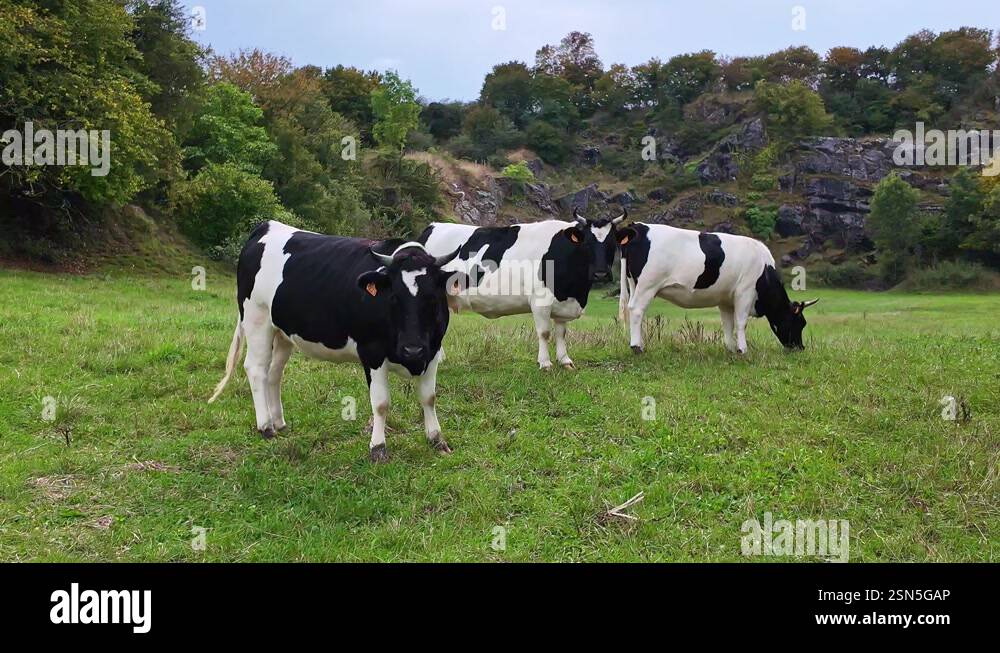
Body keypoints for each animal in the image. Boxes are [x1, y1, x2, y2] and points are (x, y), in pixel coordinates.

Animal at [207, 220, 464, 463]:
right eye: (393, 297)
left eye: (432, 297)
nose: (412, 349)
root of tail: (267, 226)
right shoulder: (372, 351)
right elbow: (381, 403)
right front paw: (378, 448)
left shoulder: (432, 350)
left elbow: (429, 397)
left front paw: (437, 440)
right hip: (256, 319)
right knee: (256, 369)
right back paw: (266, 427)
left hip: (282, 331)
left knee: (274, 373)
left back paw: (279, 422)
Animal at [418, 209, 625, 371]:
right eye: (587, 243)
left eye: (611, 243)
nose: (601, 274)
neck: (575, 290)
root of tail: (432, 227)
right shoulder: (540, 301)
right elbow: (544, 333)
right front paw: (545, 363)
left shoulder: (564, 303)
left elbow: (561, 333)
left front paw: (565, 361)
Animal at [616, 223, 818, 354]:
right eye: (800, 322)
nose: (800, 348)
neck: (764, 269)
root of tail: (638, 227)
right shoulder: (745, 292)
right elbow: (741, 322)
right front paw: (742, 349)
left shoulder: (725, 299)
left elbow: (728, 324)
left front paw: (730, 348)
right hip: (647, 285)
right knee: (637, 310)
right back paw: (637, 347)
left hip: (634, 284)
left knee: (634, 310)